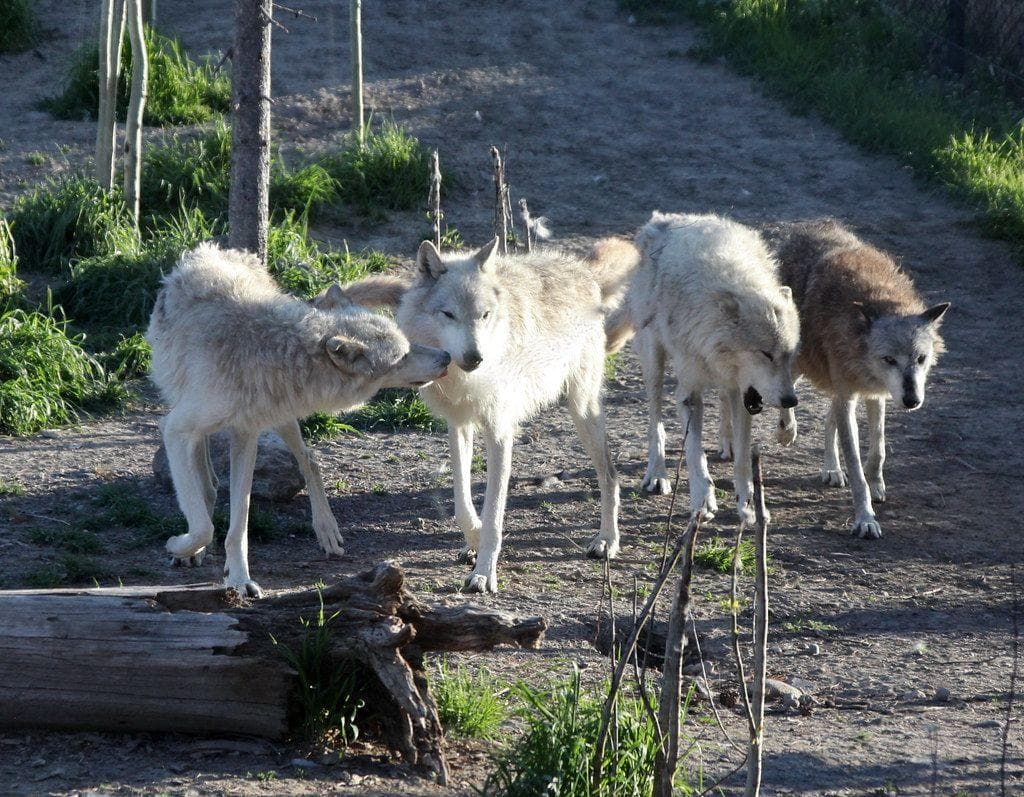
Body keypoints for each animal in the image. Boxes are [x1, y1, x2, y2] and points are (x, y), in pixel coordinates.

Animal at [147, 243, 450, 597]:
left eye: (407, 345)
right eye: (402, 356)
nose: (446, 357)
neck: (270, 348)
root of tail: (218, 249)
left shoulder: (246, 434)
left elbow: (238, 524)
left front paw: (239, 579)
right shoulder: (176, 428)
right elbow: (203, 524)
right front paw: (181, 545)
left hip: (281, 419)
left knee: (309, 458)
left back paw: (326, 529)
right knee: (209, 481)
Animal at [326, 237, 634, 593]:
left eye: (484, 315)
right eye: (449, 314)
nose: (476, 357)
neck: (464, 379)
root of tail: (581, 269)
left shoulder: (499, 432)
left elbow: (494, 514)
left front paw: (484, 572)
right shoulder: (459, 425)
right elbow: (462, 501)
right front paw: (472, 539)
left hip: (582, 410)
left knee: (610, 475)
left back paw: (607, 540)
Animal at [609, 212, 800, 525]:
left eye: (789, 355)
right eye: (765, 353)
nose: (790, 400)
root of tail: (663, 218)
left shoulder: (745, 393)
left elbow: (744, 460)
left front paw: (747, 505)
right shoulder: (690, 393)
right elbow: (694, 453)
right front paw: (702, 500)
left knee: (724, 402)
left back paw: (728, 444)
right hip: (653, 360)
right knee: (655, 421)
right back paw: (657, 474)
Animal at [763, 219, 949, 539]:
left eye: (921, 359)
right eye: (889, 359)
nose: (912, 401)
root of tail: (806, 225)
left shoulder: (876, 394)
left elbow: (878, 450)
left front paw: (876, 487)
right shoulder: (851, 394)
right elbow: (856, 465)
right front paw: (865, 518)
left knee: (829, 420)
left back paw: (831, 470)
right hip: (798, 363)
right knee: (777, 393)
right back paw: (781, 433)